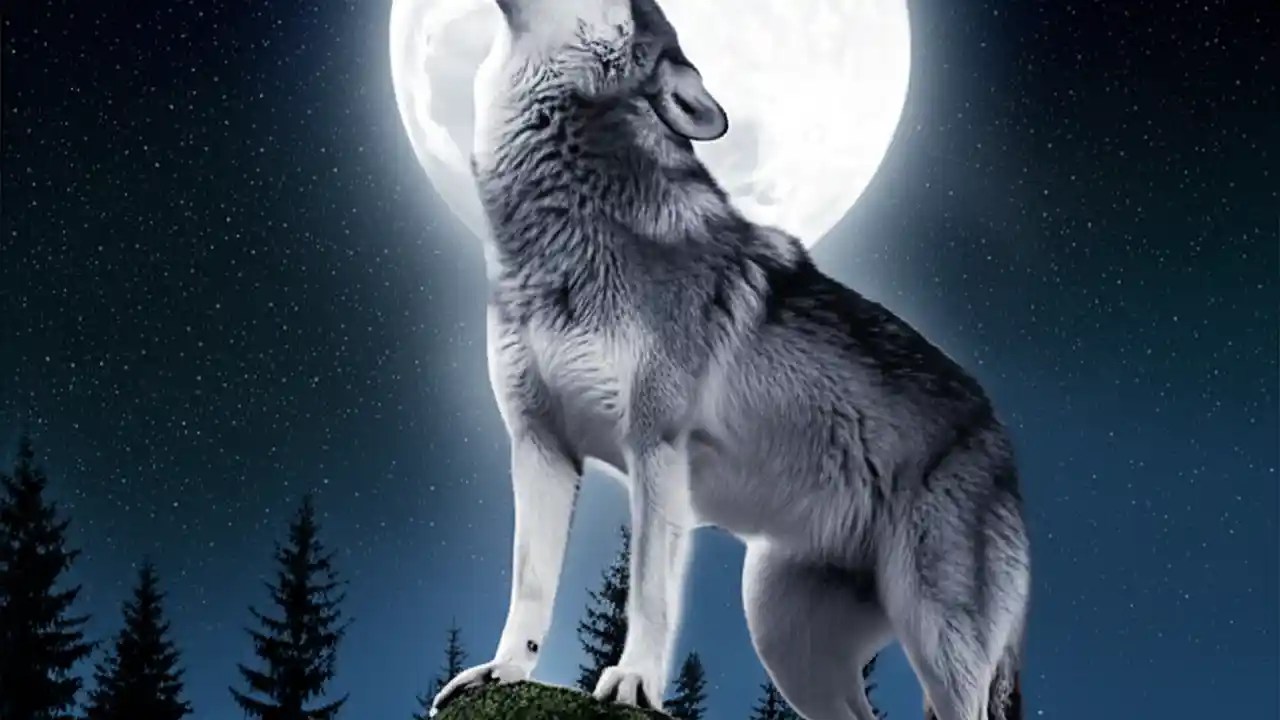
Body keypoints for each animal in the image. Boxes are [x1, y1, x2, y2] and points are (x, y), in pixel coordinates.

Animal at [429, 1, 1031, 718]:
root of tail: (1000, 438)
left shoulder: (655, 448)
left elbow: (649, 593)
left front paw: (633, 681)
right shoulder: (539, 446)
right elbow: (530, 585)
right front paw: (501, 672)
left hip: (937, 645)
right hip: (783, 636)